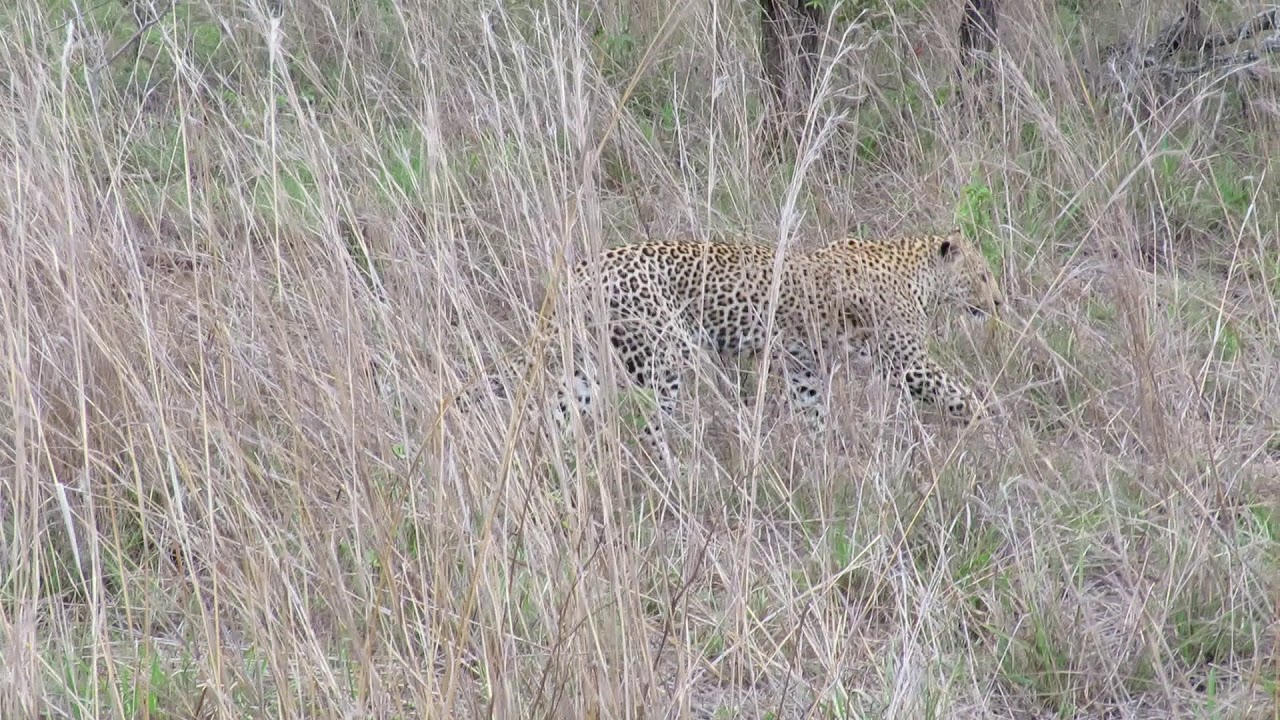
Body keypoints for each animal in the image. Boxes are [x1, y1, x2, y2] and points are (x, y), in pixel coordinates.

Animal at [464, 228, 1004, 468]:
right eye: (982, 275)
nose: (999, 301)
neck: (918, 274)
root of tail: (579, 270)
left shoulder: (804, 366)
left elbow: (813, 411)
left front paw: (826, 459)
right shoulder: (908, 363)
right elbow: (962, 396)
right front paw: (997, 434)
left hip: (587, 365)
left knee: (552, 415)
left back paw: (548, 467)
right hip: (660, 359)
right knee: (648, 424)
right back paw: (679, 475)